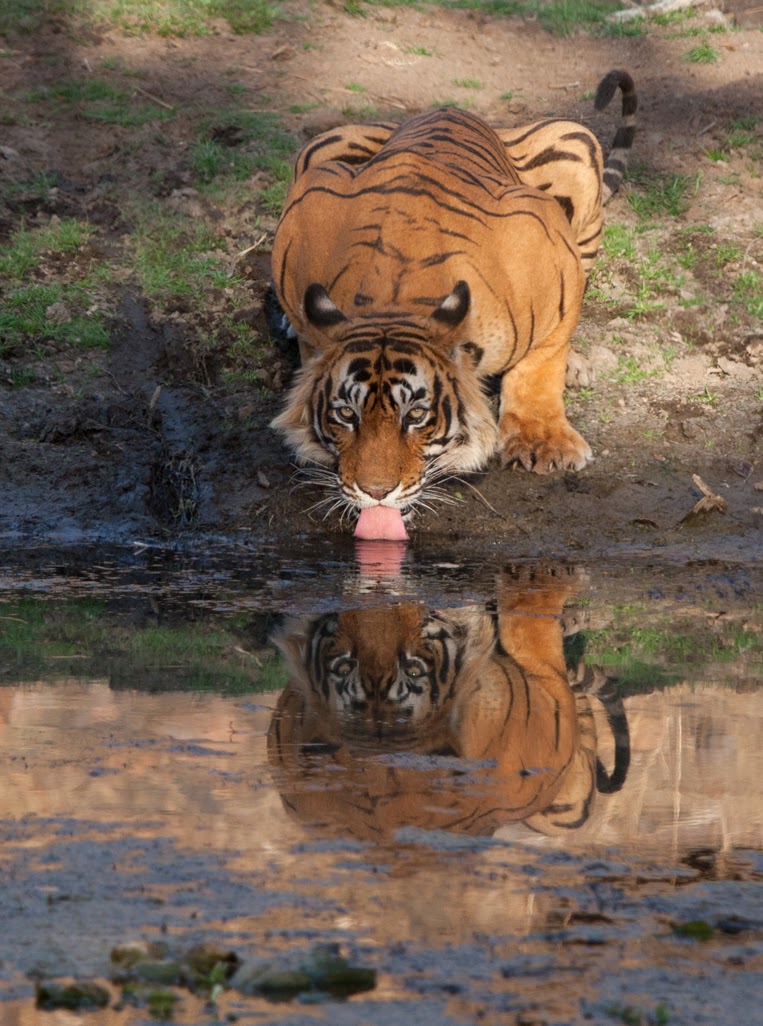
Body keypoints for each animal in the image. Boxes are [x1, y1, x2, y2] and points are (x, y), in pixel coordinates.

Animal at [270, 71, 637, 539]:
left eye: (416, 415)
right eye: (346, 415)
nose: (375, 491)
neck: (394, 302)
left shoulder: (555, 251)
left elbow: (542, 359)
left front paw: (543, 442)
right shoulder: (307, 210)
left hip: (575, 139)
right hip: (324, 145)